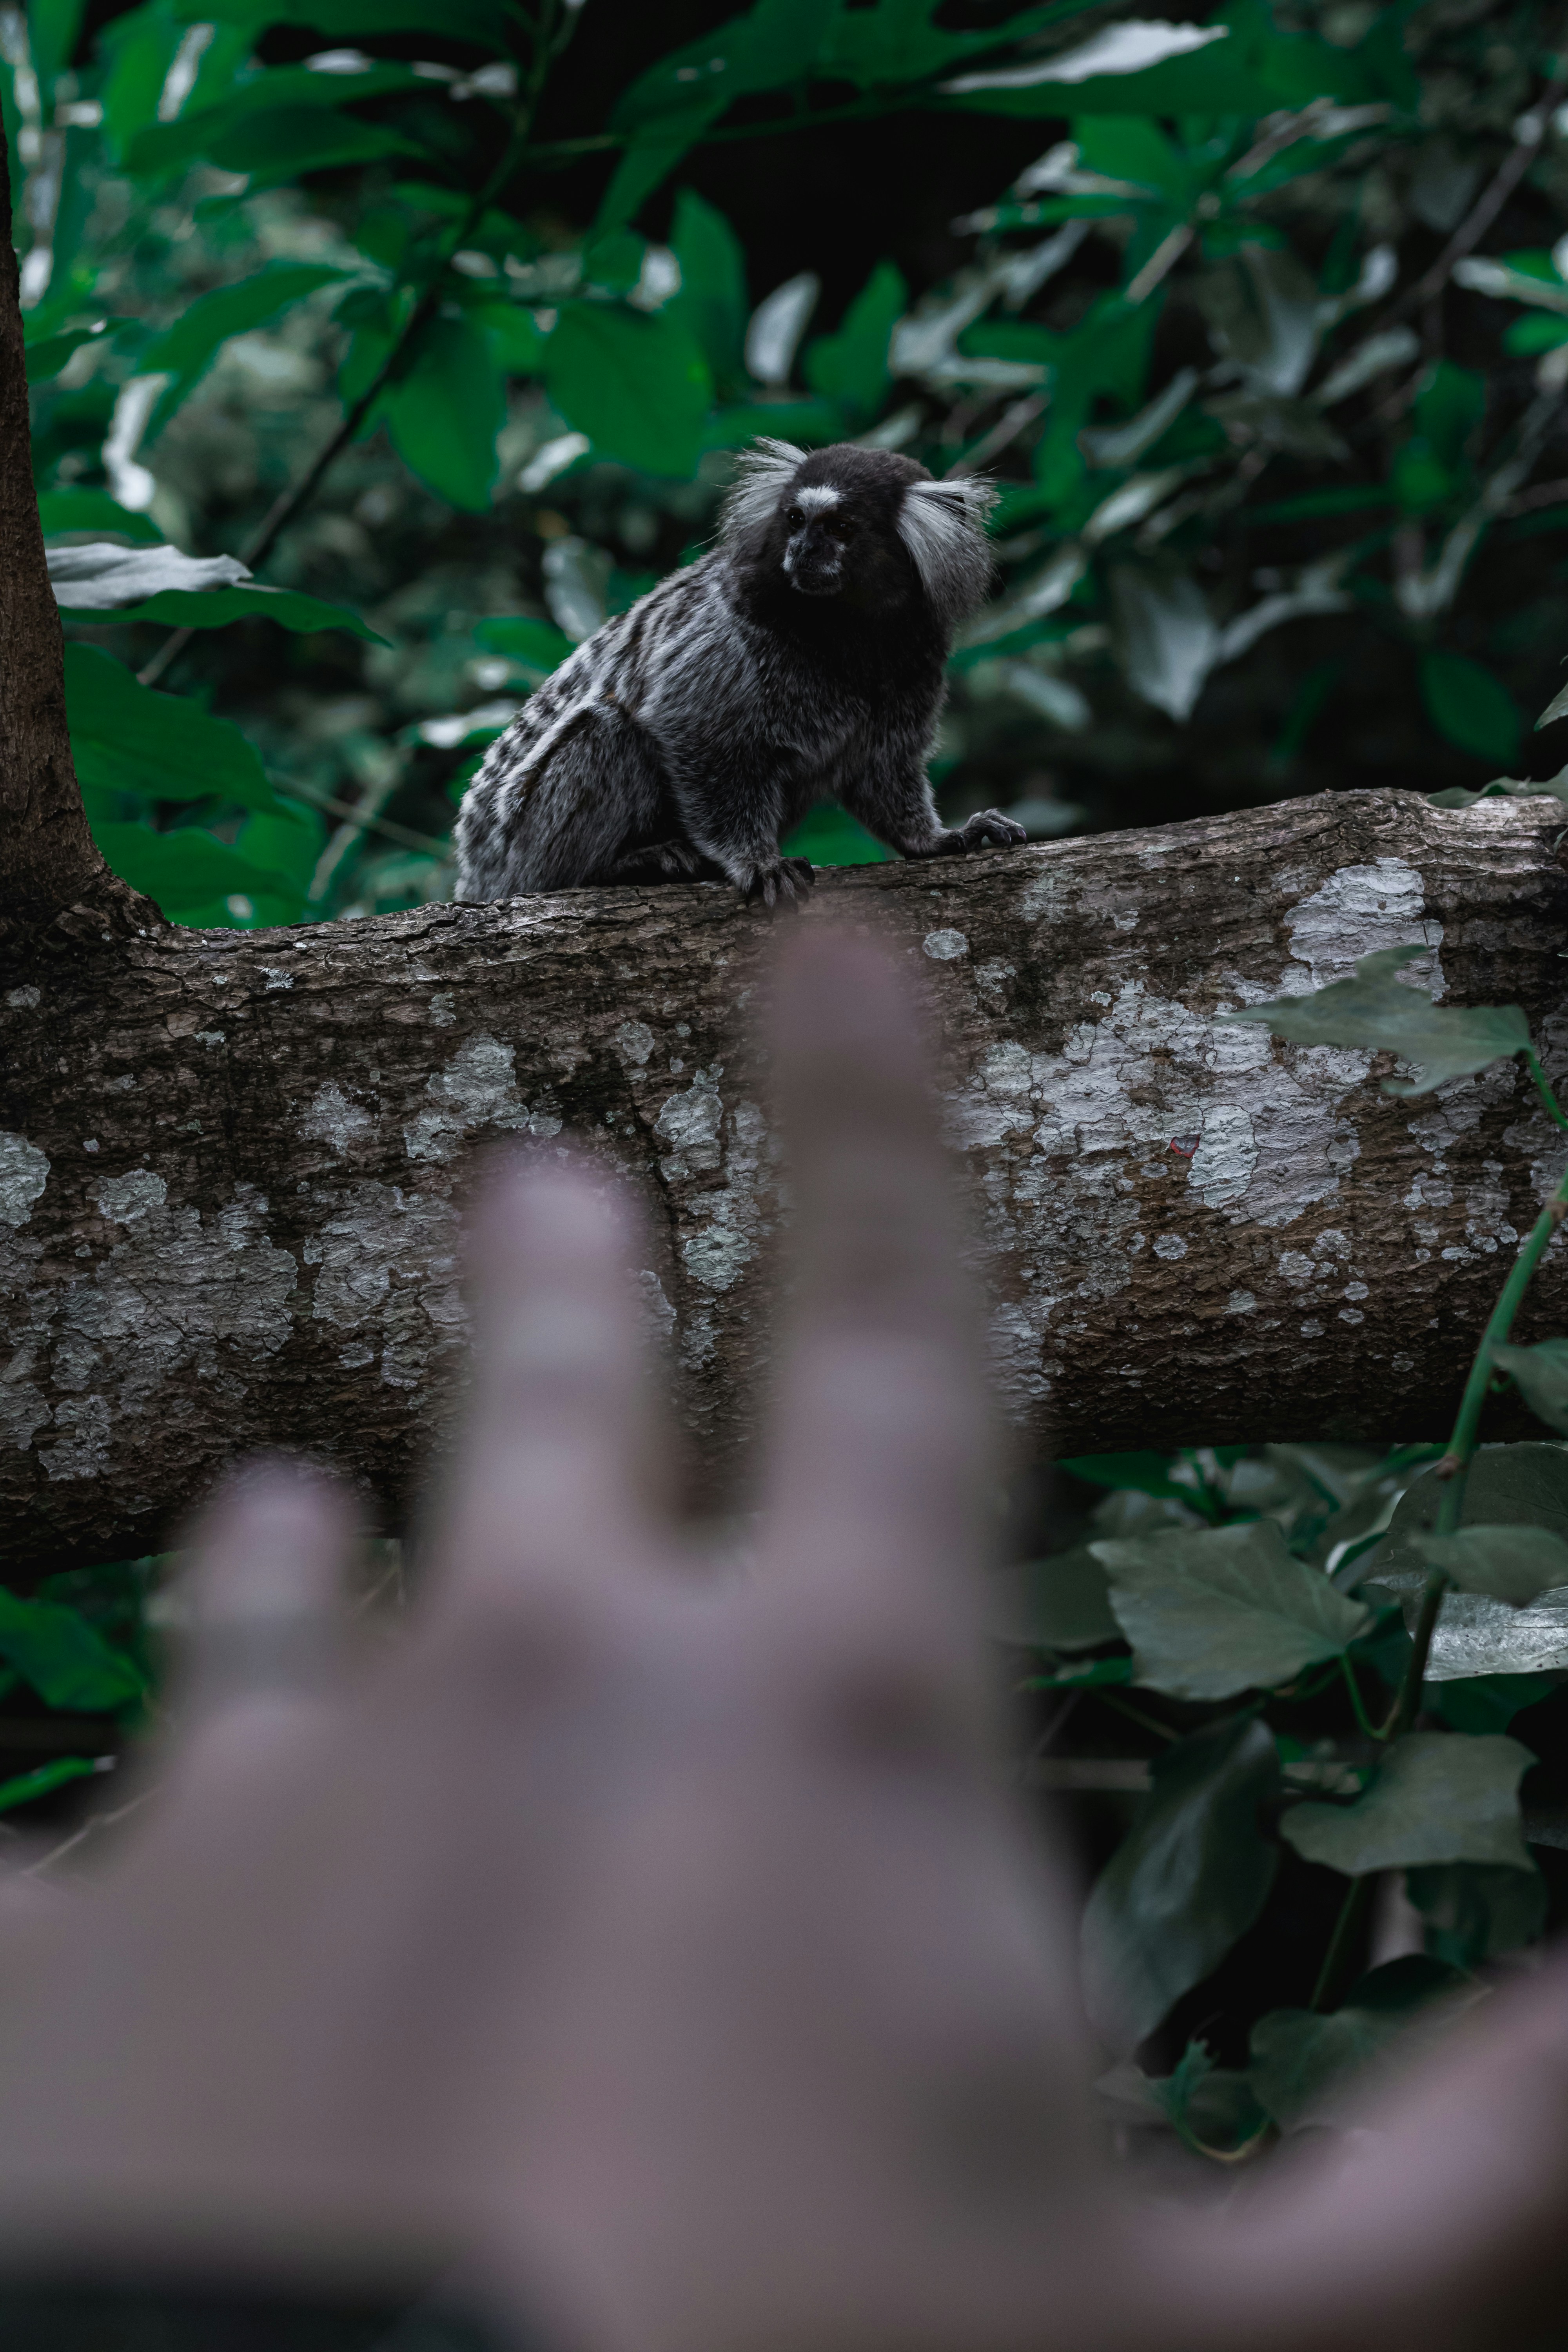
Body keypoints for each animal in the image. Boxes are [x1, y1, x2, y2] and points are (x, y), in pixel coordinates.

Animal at [453, 438, 1030, 910]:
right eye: (795, 520)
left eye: (840, 528)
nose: (805, 551)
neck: (844, 630)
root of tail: (477, 875)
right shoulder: (727, 636)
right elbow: (698, 737)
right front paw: (755, 862)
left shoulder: (916, 658)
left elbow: (881, 768)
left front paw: (932, 839)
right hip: (520, 844)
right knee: (605, 730)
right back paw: (616, 867)